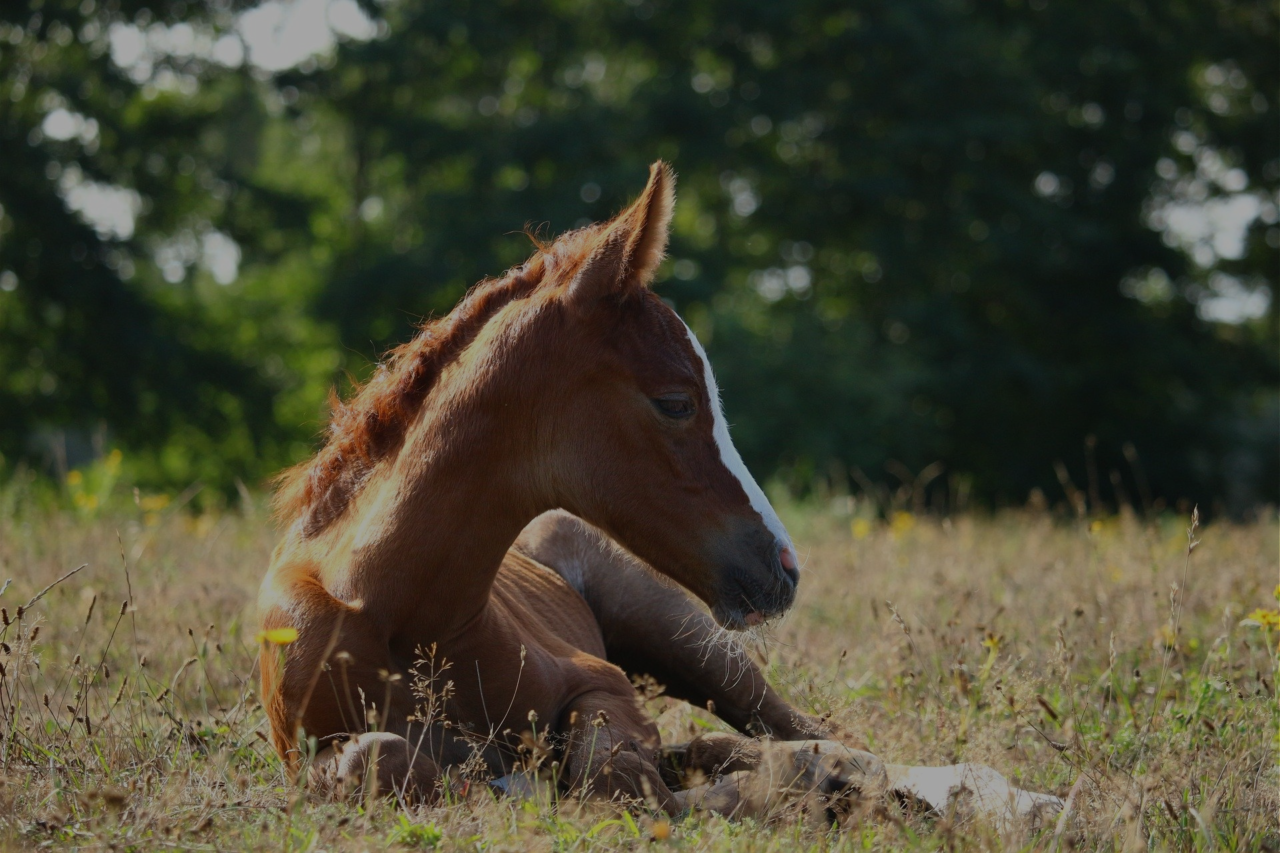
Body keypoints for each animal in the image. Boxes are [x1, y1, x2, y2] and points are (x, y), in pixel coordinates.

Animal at [258, 162, 1063, 827]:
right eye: (677, 402)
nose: (784, 566)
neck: (402, 617)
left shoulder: (601, 684)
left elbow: (617, 776)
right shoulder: (304, 756)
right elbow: (377, 758)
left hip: (690, 641)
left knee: (821, 737)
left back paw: (996, 796)